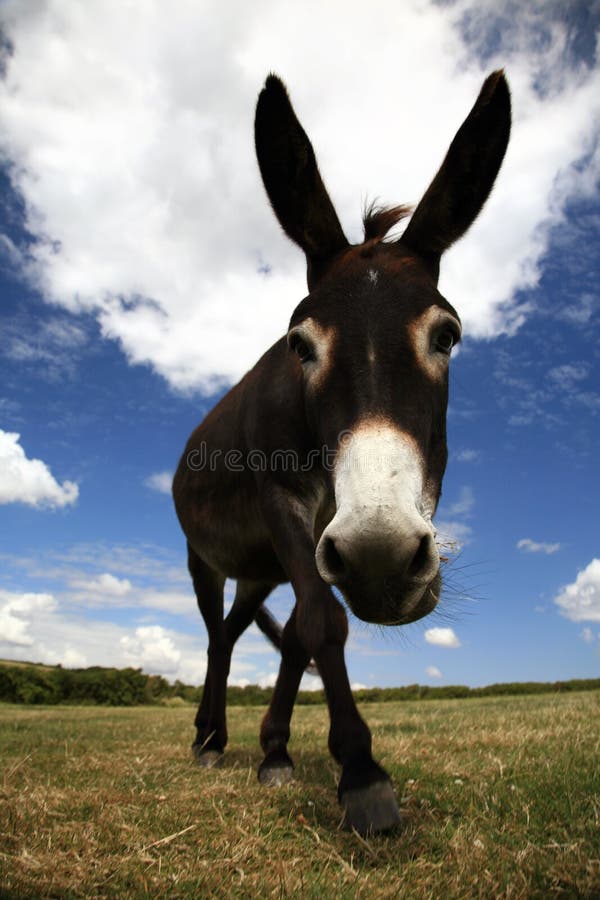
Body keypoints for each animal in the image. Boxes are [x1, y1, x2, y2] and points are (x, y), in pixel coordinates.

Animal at [172, 70, 511, 834]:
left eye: (447, 336)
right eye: (301, 345)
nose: (383, 560)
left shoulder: (318, 529)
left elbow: (303, 627)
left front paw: (278, 753)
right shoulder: (283, 502)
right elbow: (324, 618)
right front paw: (362, 773)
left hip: (257, 571)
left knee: (237, 630)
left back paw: (243, 743)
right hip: (205, 558)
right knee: (215, 635)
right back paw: (208, 739)